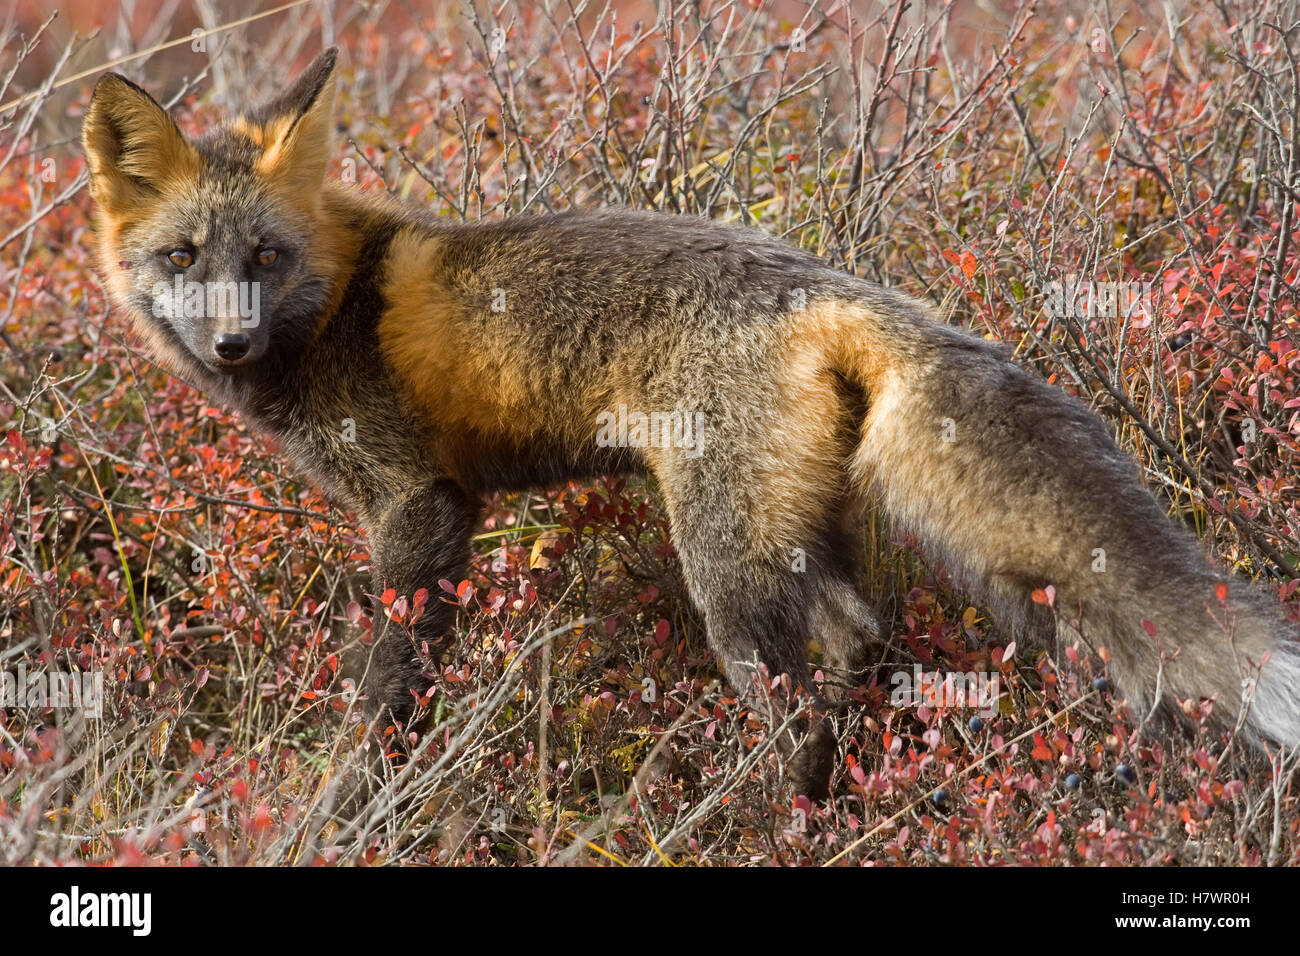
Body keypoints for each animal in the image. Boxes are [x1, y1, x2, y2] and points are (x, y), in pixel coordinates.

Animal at [81, 47, 1300, 800]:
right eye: (183, 258)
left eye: (265, 256)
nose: (231, 345)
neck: (341, 295)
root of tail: (828, 287)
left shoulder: (423, 508)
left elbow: (389, 686)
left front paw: (356, 797)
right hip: (796, 535)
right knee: (863, 636)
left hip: (722, 570)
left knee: (801, 697)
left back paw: (773, 817)